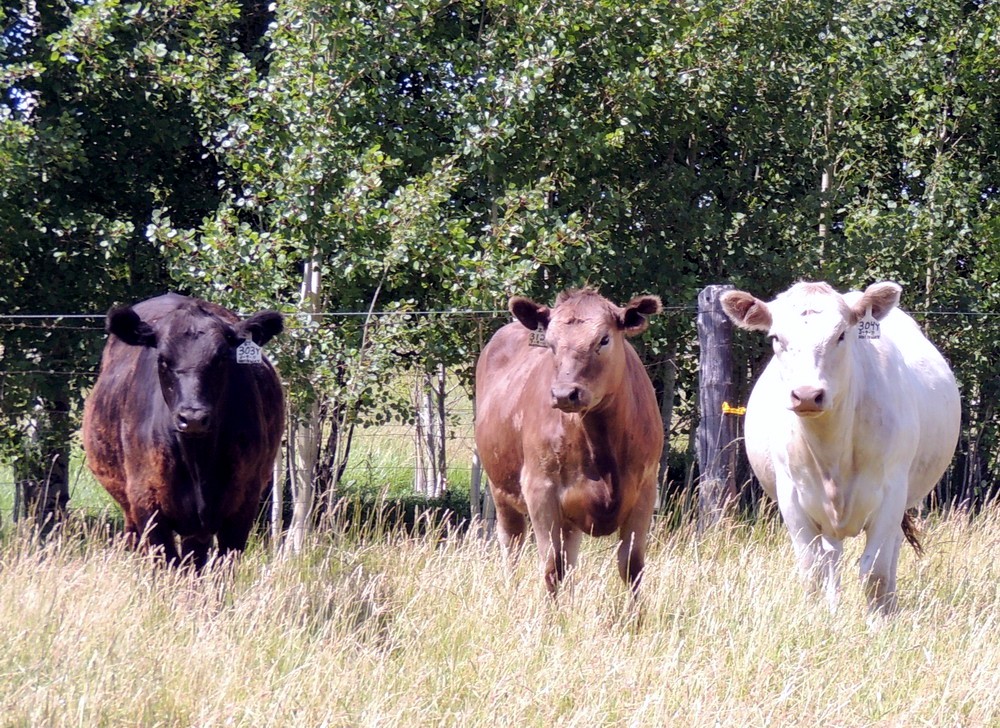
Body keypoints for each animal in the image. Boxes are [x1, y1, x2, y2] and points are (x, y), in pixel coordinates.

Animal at [82, 293, 284, 569]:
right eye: (163, 360)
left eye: (221, 358)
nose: (193, 418)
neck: (198, 461)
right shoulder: (147, 503)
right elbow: (165, 564)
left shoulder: (244, 503)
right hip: (130, 506)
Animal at [474, 288, 664, 596]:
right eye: (550, 344)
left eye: (604, 339)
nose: (564, 394)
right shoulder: (540, 489)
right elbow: (552, 567)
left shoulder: (645, 488)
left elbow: (632, 566)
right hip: (500, 489)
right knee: (512, 544)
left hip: (569, 518)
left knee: (570, 560)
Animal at [721, 281, 960, 612]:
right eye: (776, 338)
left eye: (841, 335)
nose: (807, 395)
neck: (832, 452)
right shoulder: (792, 498)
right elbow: (812, 572)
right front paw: (816, 616)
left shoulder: (891, 494)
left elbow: (875, 573)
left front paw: (879, 620)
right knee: (831, 557)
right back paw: (833, 607)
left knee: (890, 553)